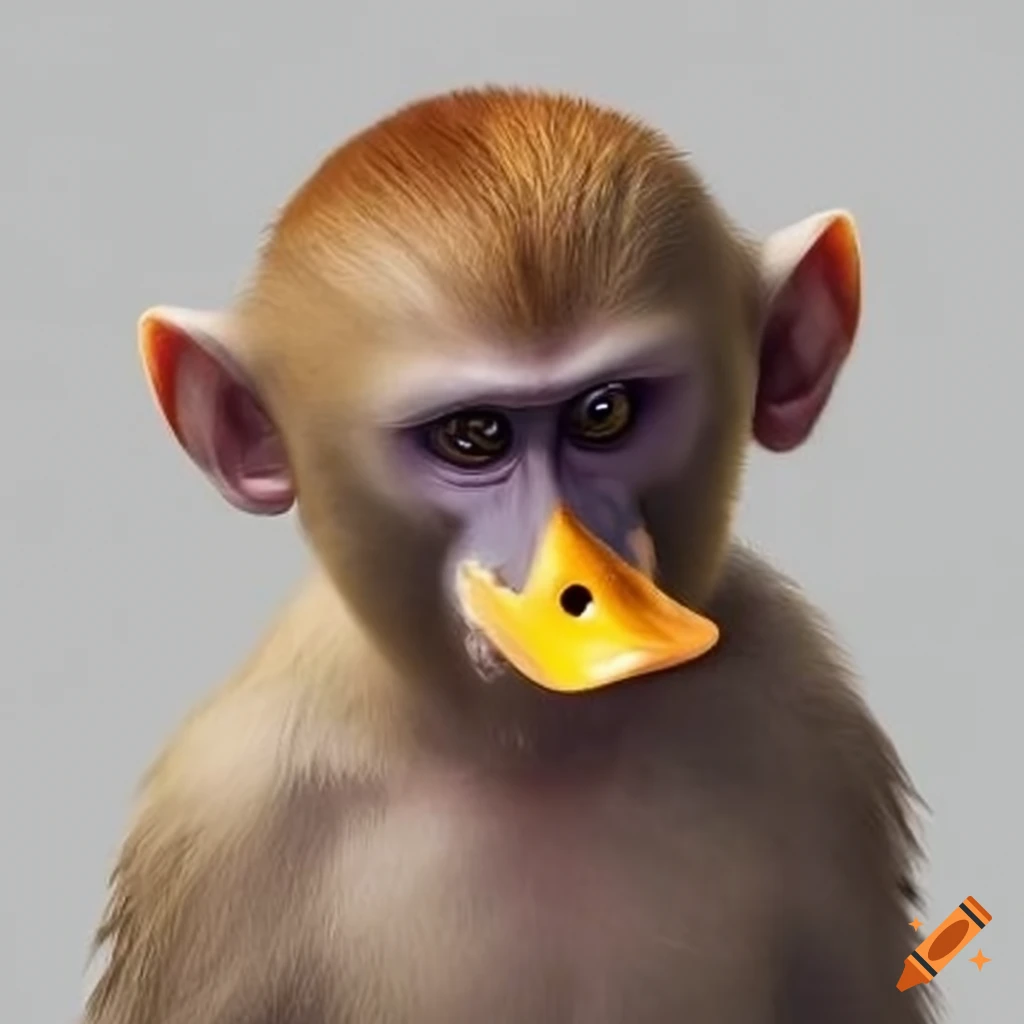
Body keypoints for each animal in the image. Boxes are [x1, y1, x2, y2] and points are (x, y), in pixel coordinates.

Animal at [84, 87, 933, 1024]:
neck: (525, 752)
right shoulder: (221, 815)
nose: (584, 598)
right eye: (474, 435)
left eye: (605, 412)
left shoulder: (813, 720)